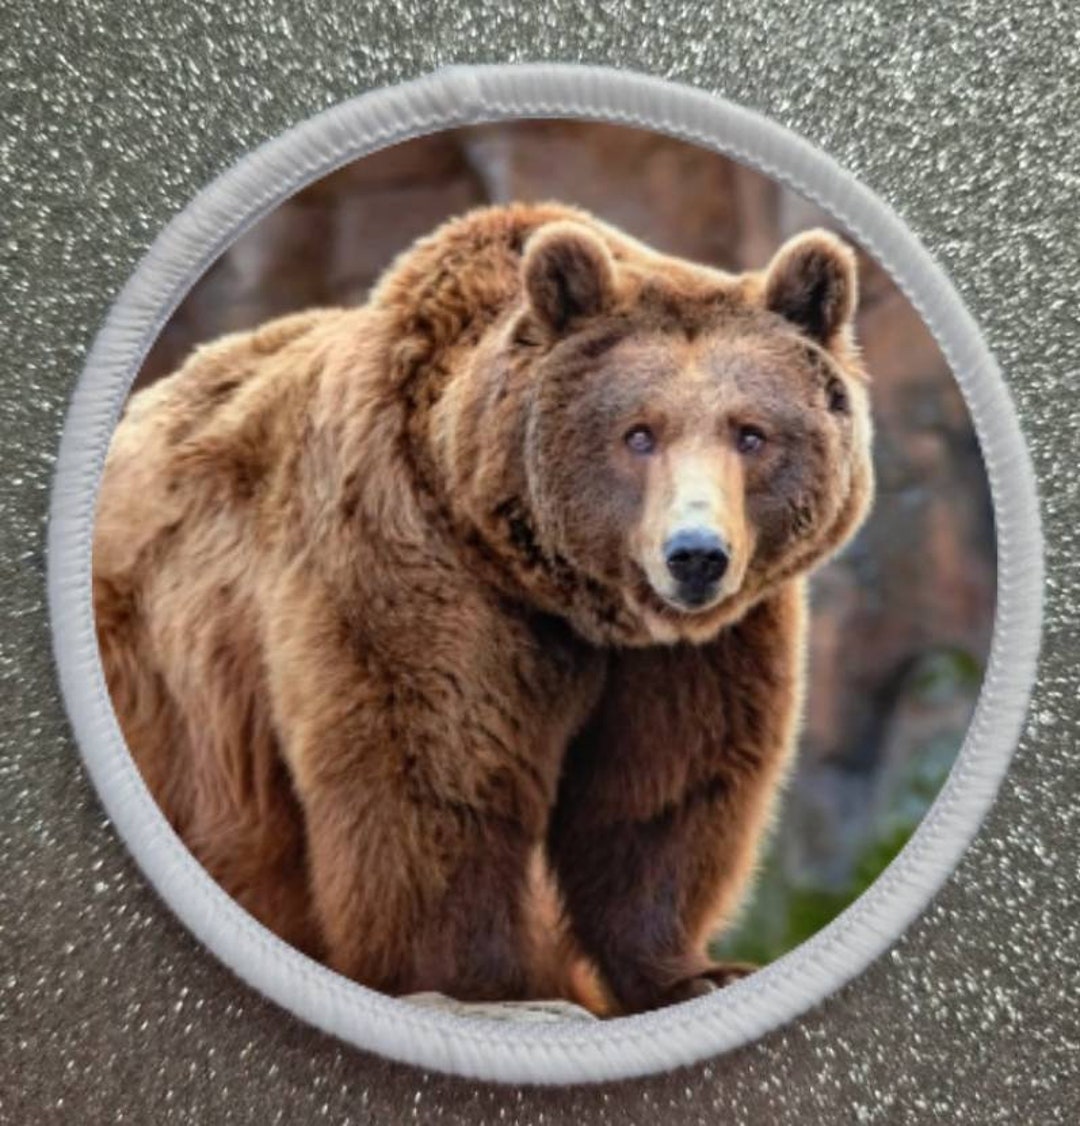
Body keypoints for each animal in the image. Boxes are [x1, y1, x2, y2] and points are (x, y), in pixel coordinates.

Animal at [92, 200, 874, 1015]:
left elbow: (664, 791)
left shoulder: (694, 649)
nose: (695, 554)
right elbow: (438, 770)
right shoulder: (411, 560)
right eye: (638, 433)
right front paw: (480, 979)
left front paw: (695, 971)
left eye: (752, 433)